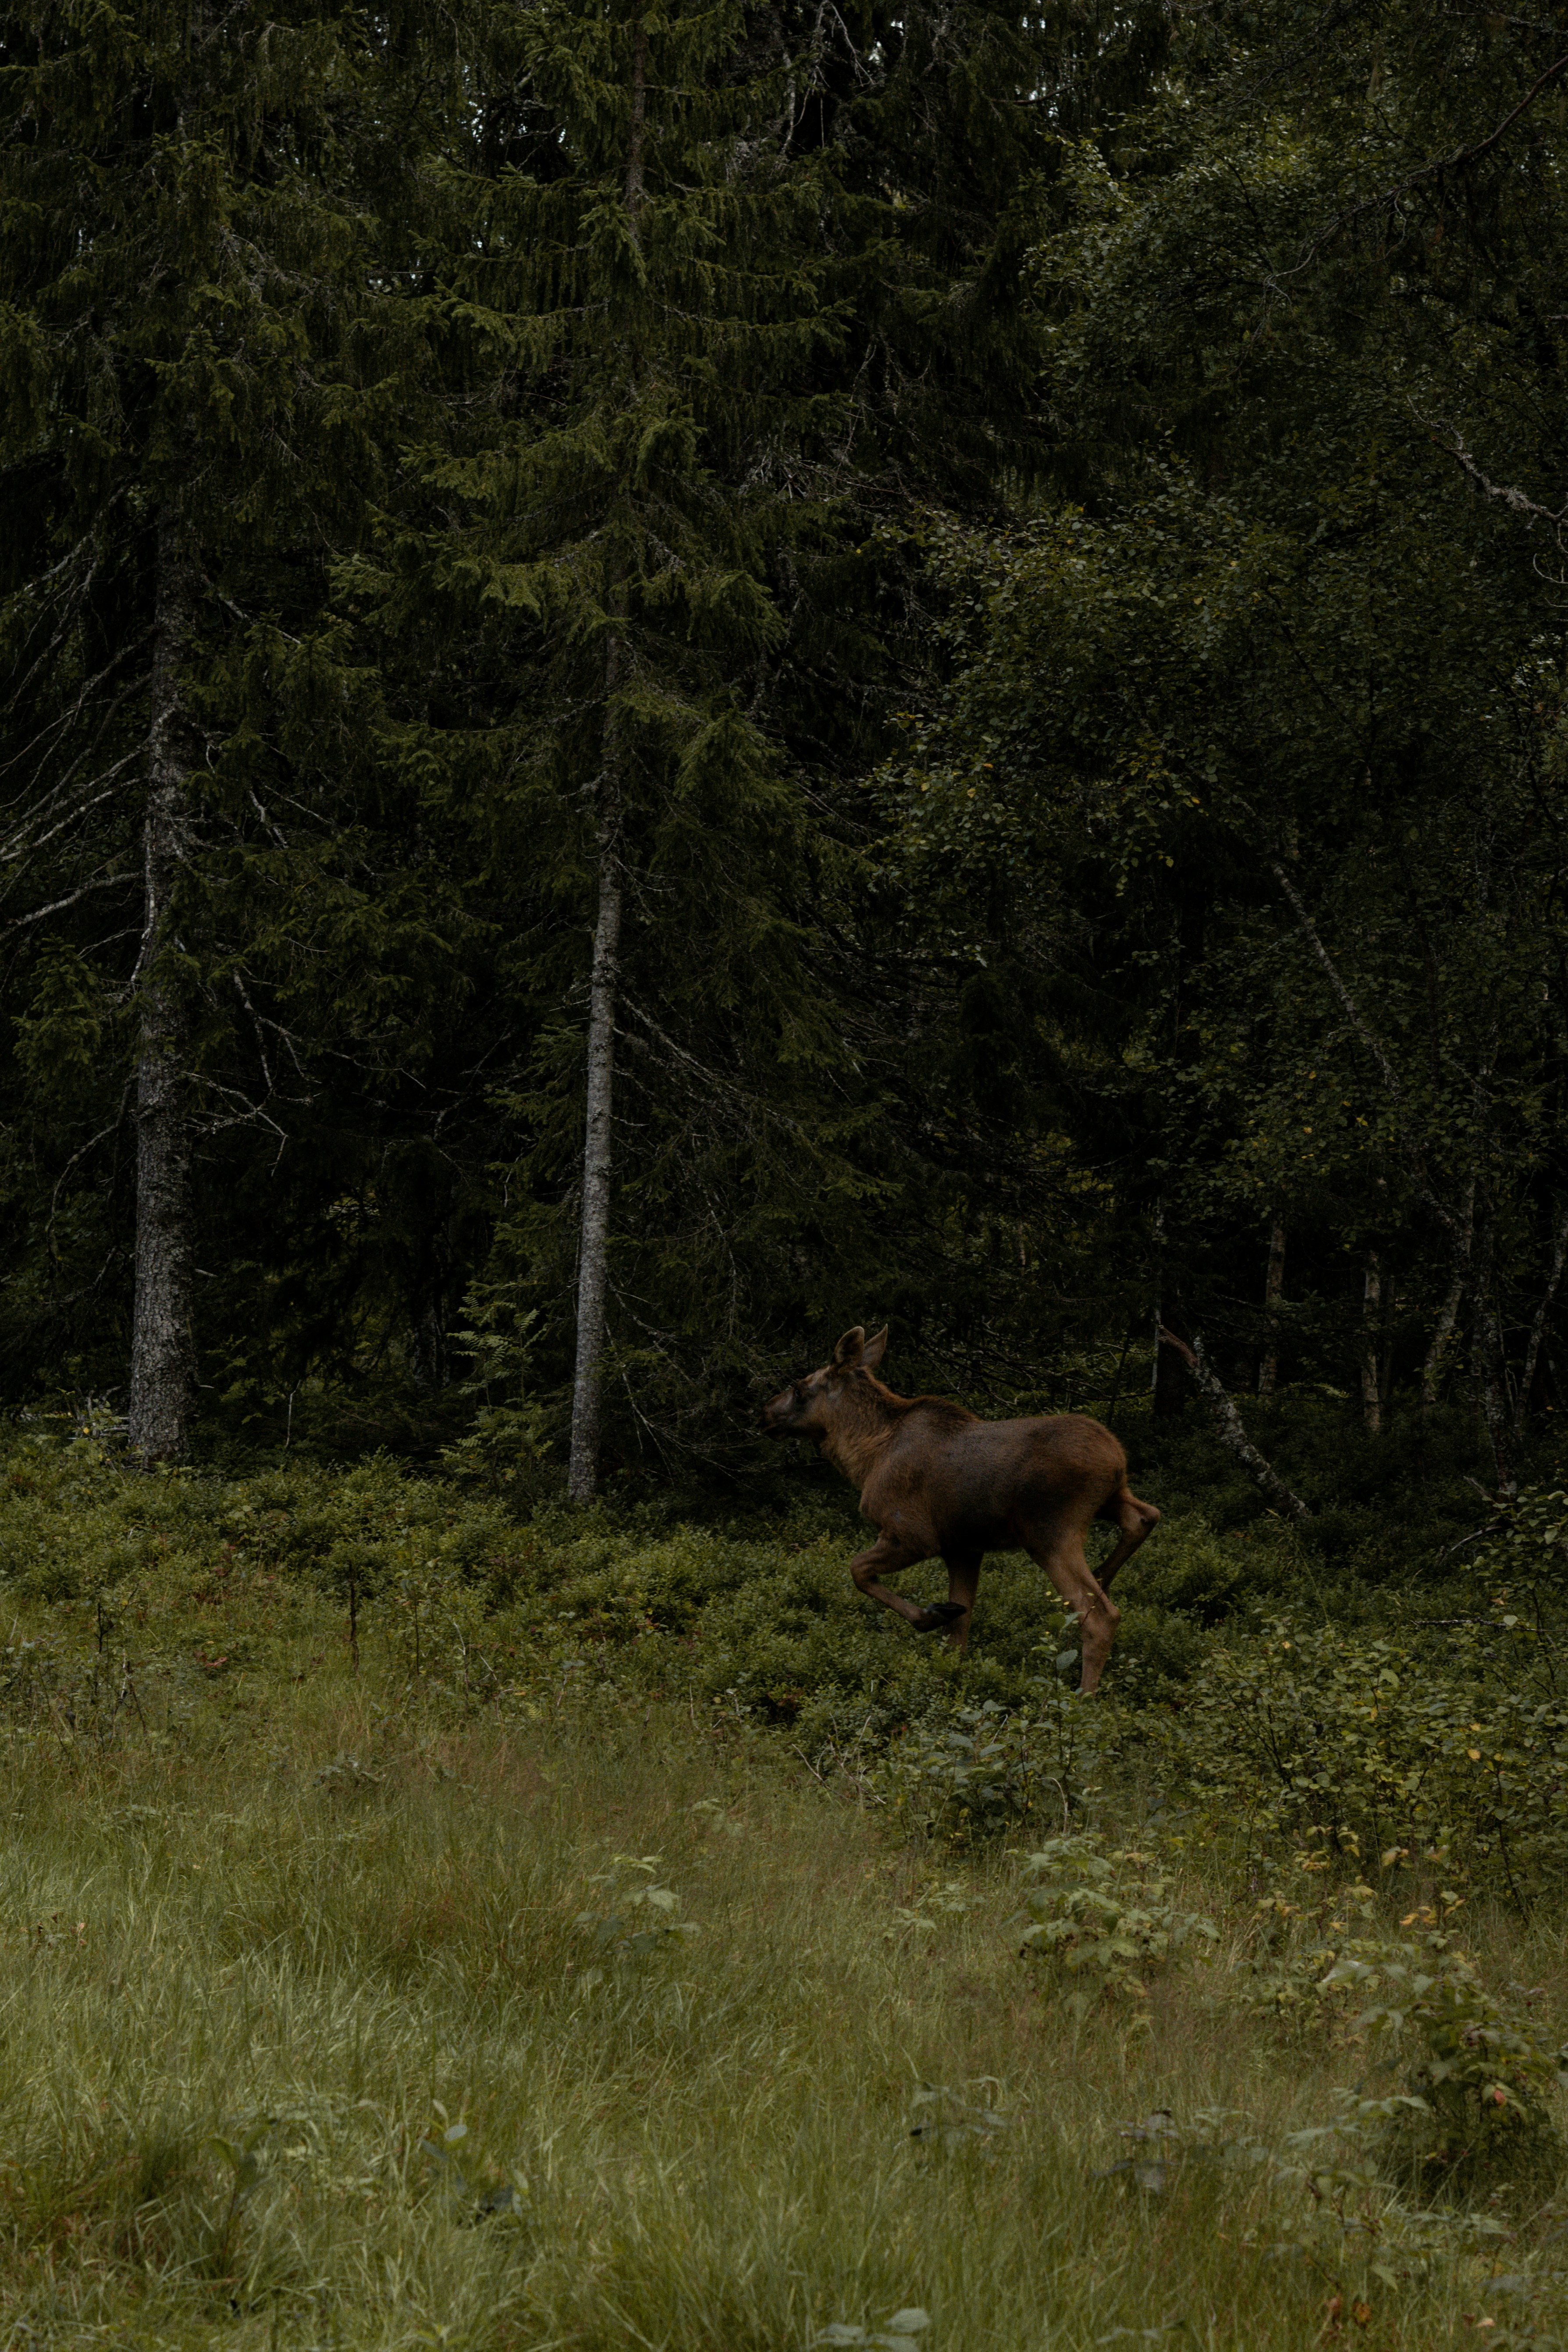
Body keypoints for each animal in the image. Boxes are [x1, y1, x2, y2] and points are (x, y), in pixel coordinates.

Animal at [759, 1326, 1159, 1692]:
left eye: (798, 1388)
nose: (765, 1412)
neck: (864, 1457)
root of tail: (1116, 1456)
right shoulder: (963, 1548)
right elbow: (959, 1628)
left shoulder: (913, 1535)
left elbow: (858, 1570)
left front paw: (931, 1614)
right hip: (1110, 1499)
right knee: (1144, 1516)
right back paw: (1104, 1573)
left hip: (1050, 1532)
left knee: (1100, 1615)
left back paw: (1083, 1697)